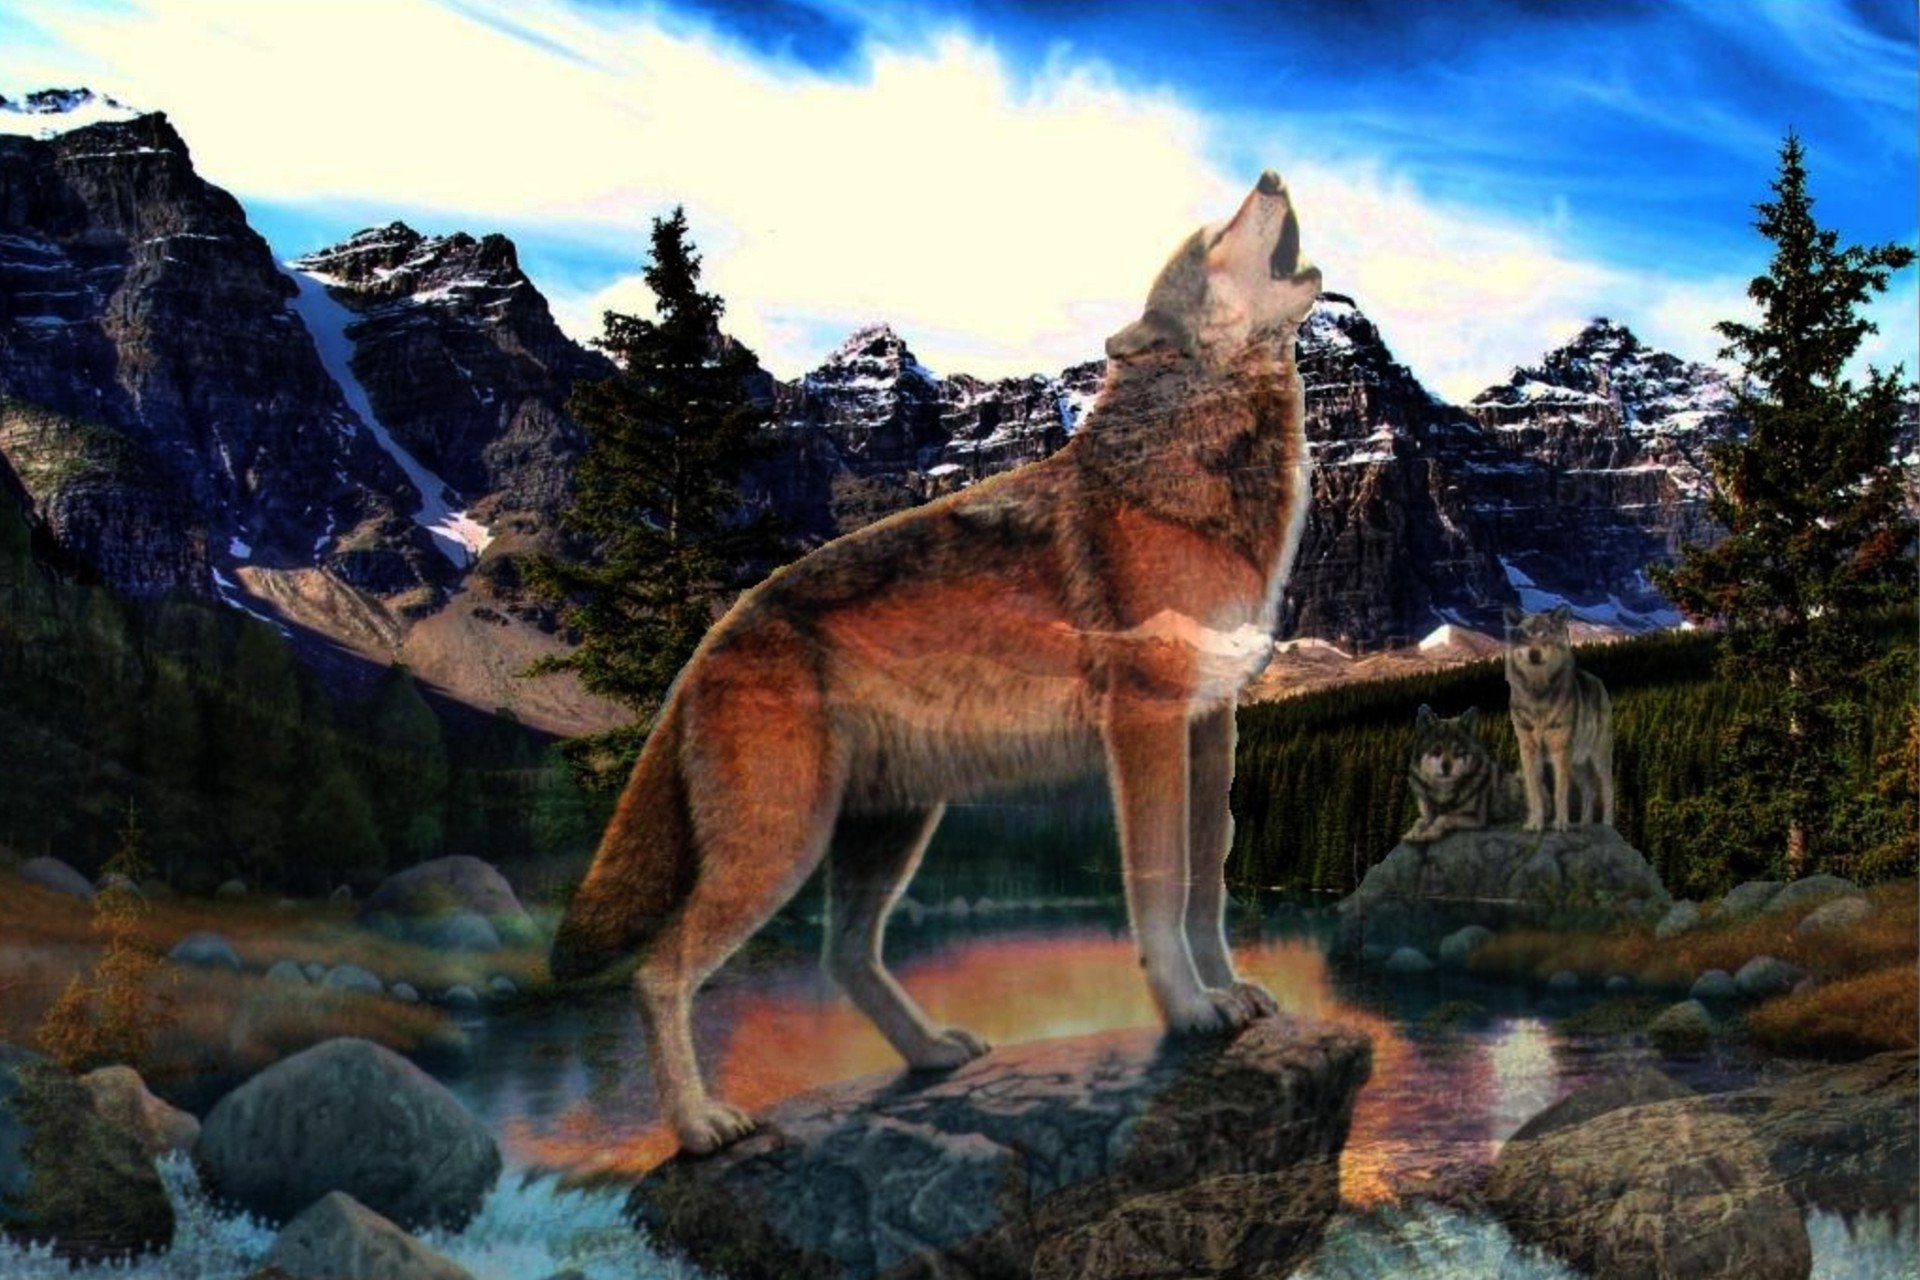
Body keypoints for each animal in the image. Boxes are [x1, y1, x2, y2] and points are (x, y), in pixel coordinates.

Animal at [549, 171, 1323, 1156]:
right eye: (1214, 238)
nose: (1271, 176)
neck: (1191, 467)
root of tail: (712, 640)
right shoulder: (1147, 724)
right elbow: (1160, 888)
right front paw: (1189, 1011)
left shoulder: (1212, 725)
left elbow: (1207, 887)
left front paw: (1229, 995)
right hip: (781, 846)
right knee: (657, 971)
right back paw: (698, 1125)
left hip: (891, 830)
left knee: (844, 955)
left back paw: (927, 1055)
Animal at [1403, 705, 1522, 843]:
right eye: (1437, 751)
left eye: (1458, 752)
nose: (1446, 767)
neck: (1443, 793)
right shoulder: (1426, 814)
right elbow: (1419, 821)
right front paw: (1413, 833)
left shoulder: (1476, 818)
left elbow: (1443, 818)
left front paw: (1430, 833)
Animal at [1504, 605, 1614, 832]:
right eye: (1525, 636)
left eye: (1545, 635)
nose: (1534, 653)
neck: (1538, 697)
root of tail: (1597, 681)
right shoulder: (1528, 749)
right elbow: (1534, 792)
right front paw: (1535, 823)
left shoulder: (1559, 748)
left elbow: (1560, 791)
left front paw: (1561, 824)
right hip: (1577, 763)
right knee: (1589, 790)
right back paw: (1584, 824)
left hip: (1597, 757)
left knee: (1608, 789)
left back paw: (1607, 824)